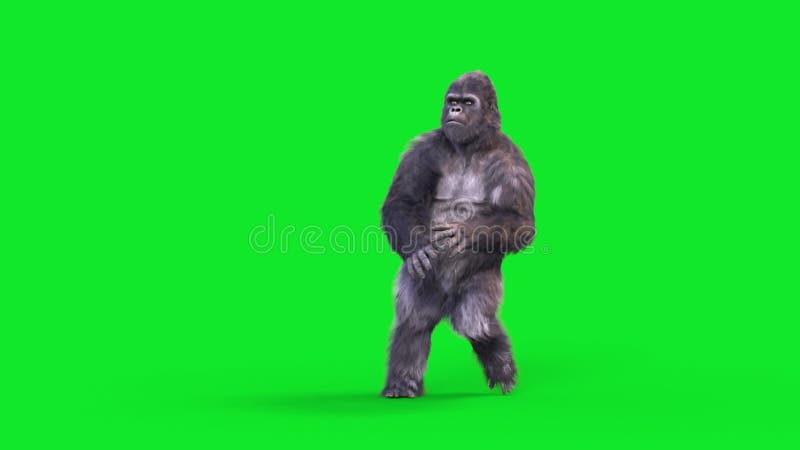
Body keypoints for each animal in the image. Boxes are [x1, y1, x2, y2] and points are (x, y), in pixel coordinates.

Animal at [380, 71, 535, 397]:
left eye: (468, 102)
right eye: (452, 100)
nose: (455, 110)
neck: (473, 145)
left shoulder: (513, 161)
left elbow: (521, 222)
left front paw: (464, 233)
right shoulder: (423, 149)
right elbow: (402, 202)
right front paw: (418, 249)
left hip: (483, 281)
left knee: (474, 322)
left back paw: (502, 368)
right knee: (414, 320)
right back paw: (403, 384)